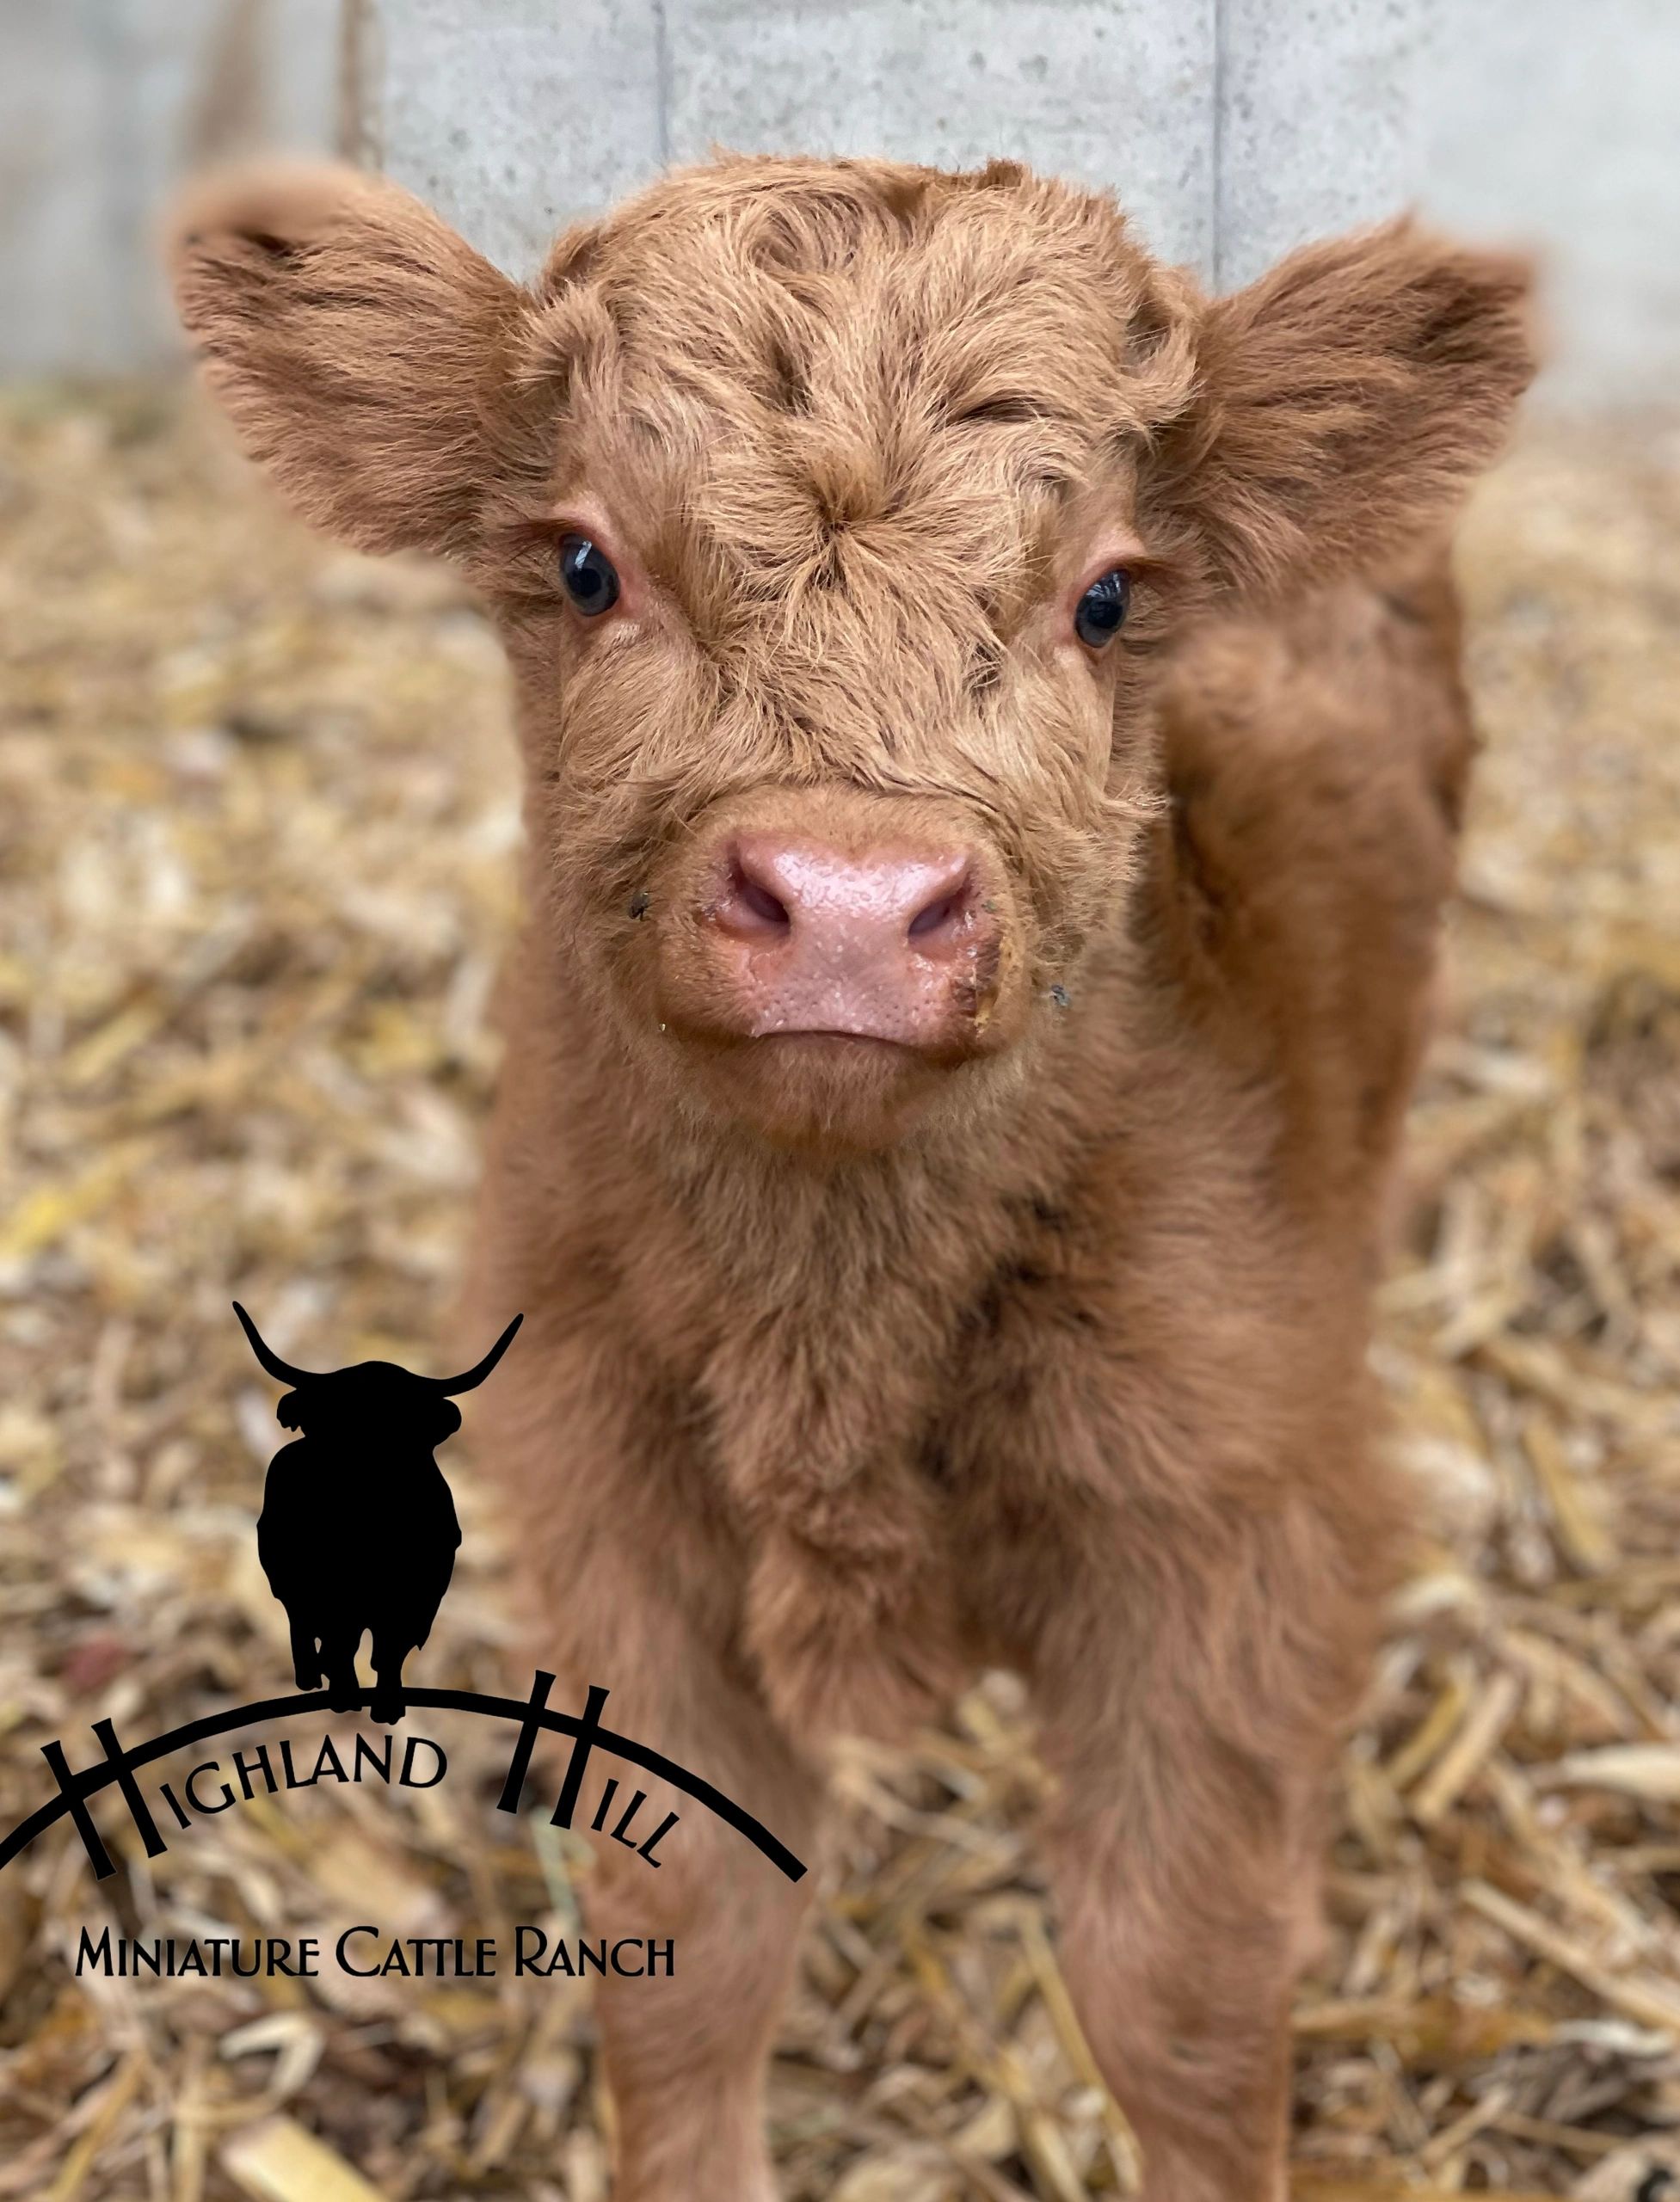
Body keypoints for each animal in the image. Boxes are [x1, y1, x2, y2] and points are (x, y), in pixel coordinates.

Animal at [234, 1302, 521, 1724]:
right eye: (336, 1424)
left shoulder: (416, 1601)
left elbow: (389, 1654)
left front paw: (388, 1706)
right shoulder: (334, 1598)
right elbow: (342, 1647)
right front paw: (345, 1697)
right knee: (302, 1630)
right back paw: (311, 1679)